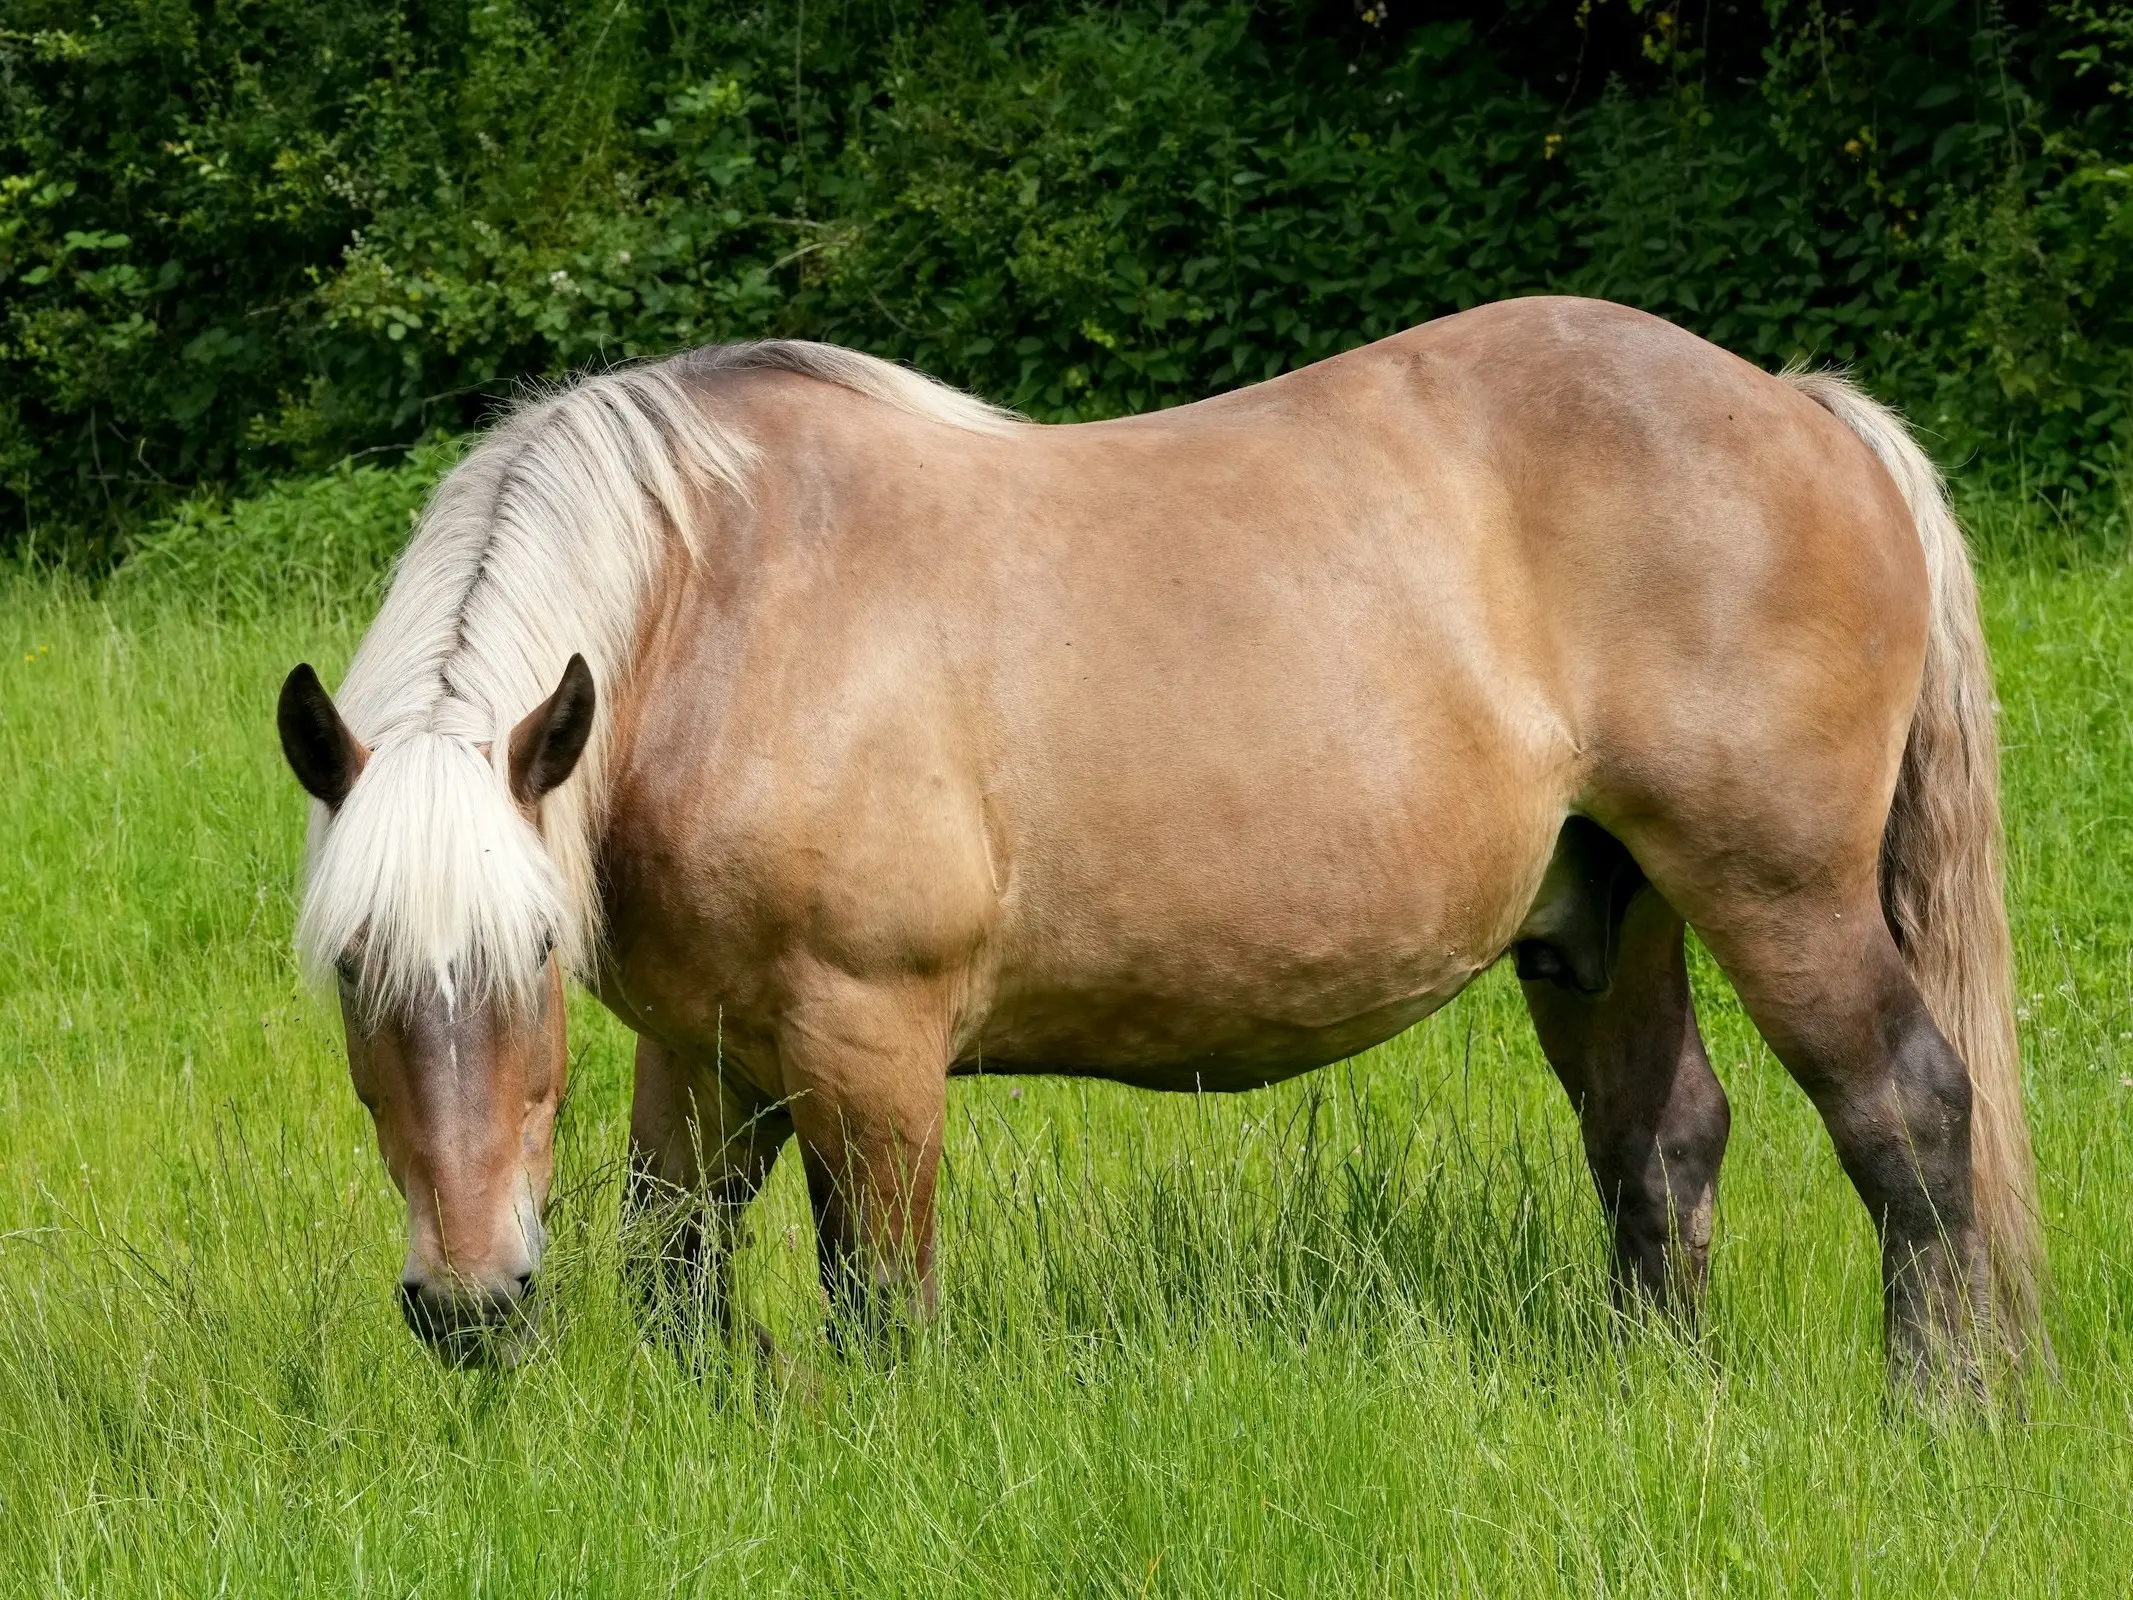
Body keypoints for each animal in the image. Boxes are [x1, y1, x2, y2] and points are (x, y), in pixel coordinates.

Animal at [276, 296, 2042, 1389]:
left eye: (527, 954)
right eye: (355, 970)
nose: (467, 1306)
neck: (719, 614)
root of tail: (1804, 411)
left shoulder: (866, 1043)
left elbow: (878, 1304)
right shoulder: (702, 1051)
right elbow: (674, 1272)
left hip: (1778, 892)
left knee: (1908, 1114)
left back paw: (1940, 1403)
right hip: (1608, 916)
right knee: (1662, 1143)